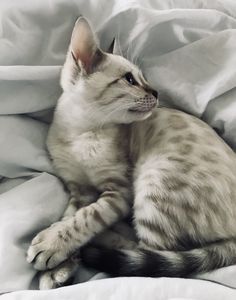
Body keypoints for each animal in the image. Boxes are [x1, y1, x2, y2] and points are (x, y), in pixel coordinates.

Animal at [25, 16, 236, 288]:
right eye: (130, 80)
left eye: (141, 78)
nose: (156, 92)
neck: (81, 134)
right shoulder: (78, 188)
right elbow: (71, 215)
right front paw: (58, 267)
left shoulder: (119, 191)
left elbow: (86, 217)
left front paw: (52, 244)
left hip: (156, 183)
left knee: (146, 253)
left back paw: (102, 240)